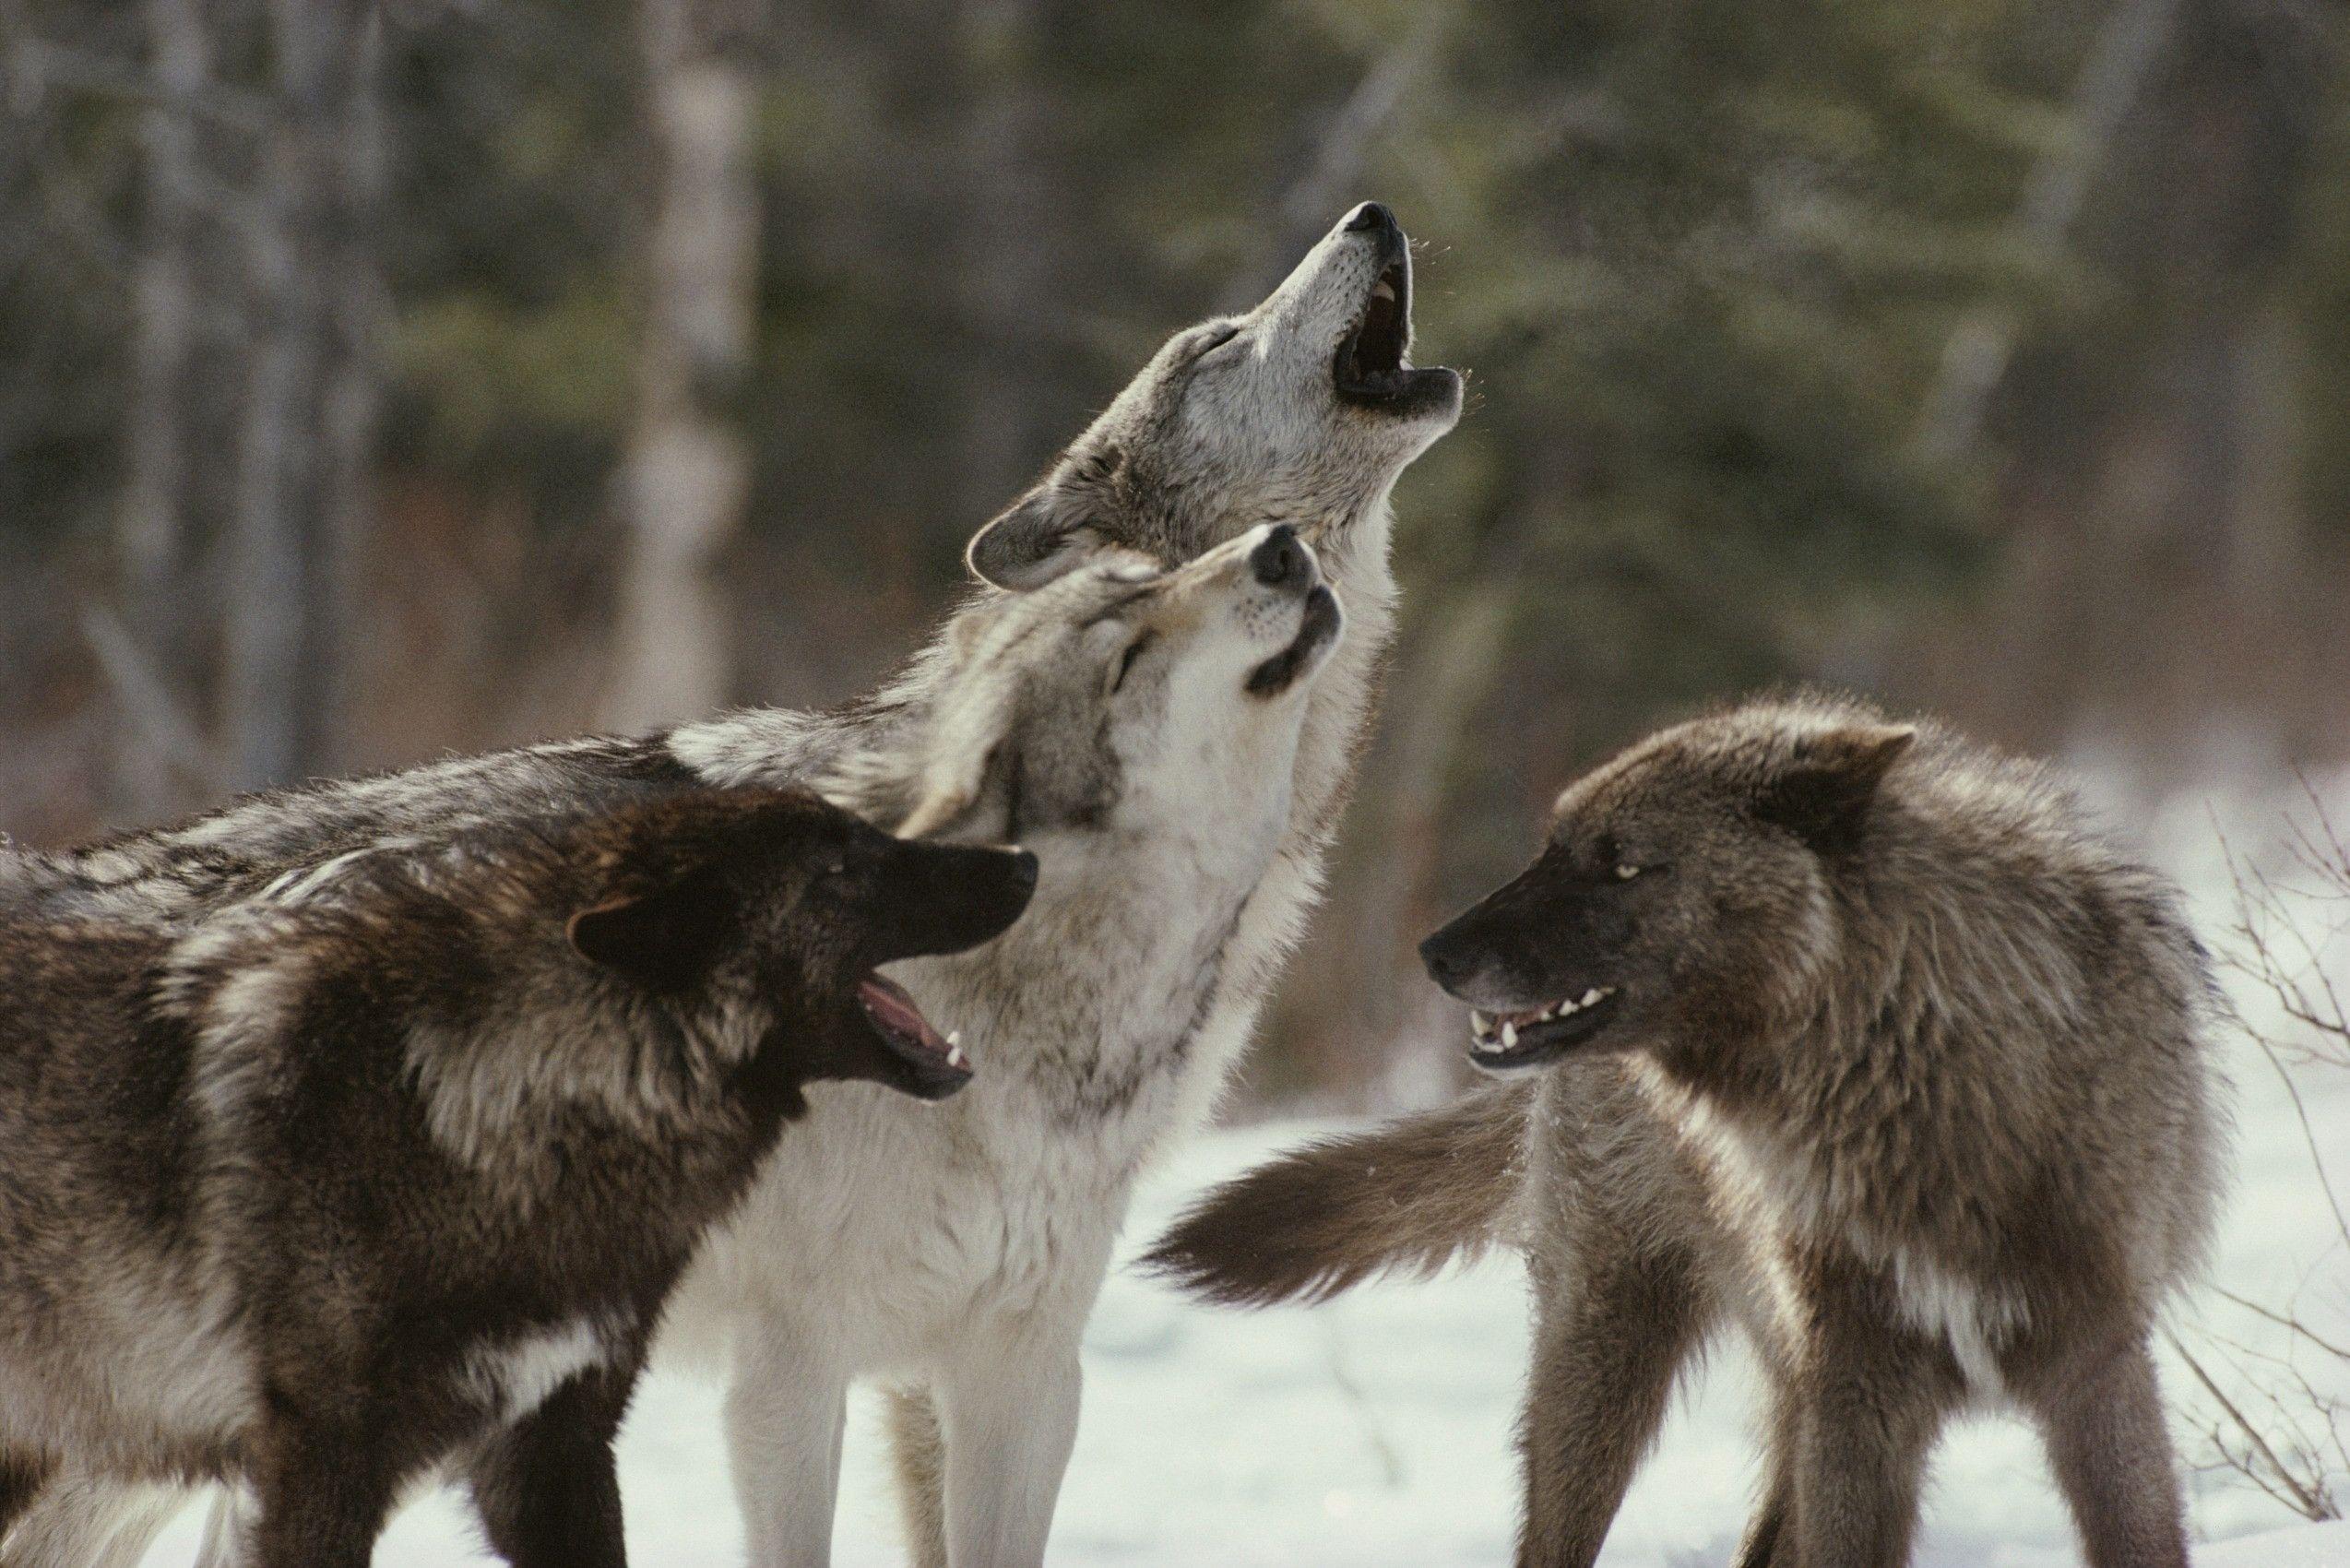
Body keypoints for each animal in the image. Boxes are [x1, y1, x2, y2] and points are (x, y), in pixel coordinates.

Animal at [1149, 693, 2224, 1568]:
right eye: (1552, 845)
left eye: (1622, 863)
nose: (1434, 953)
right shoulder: (1859, 1394)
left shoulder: (2097, 1367)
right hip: (1607, 1364)